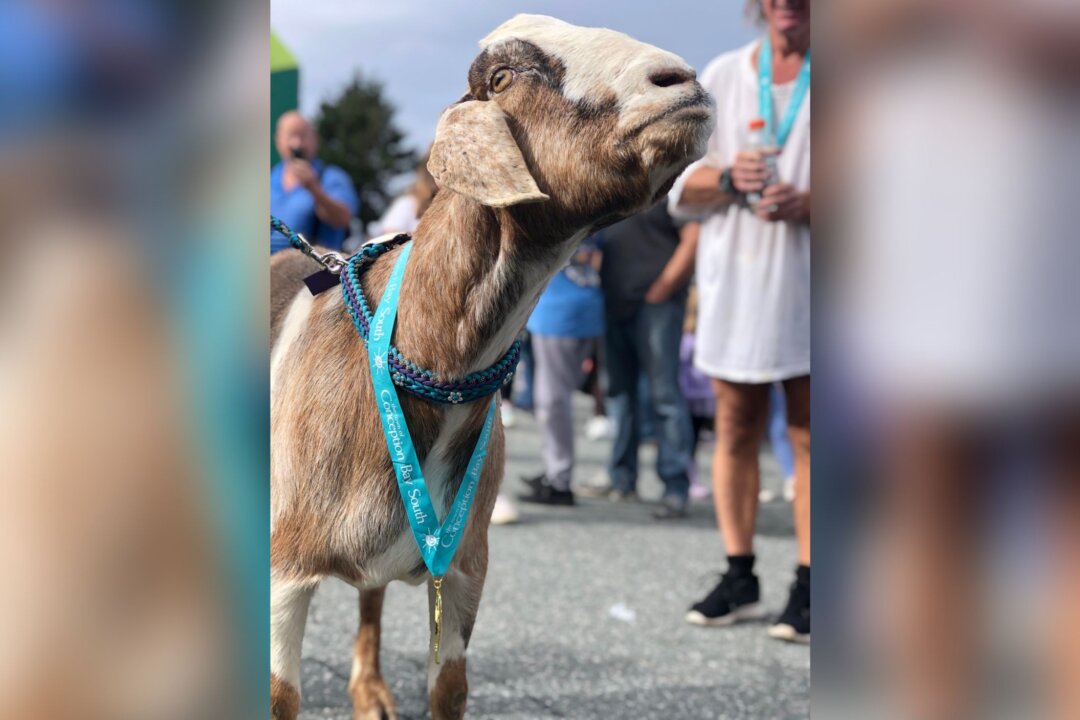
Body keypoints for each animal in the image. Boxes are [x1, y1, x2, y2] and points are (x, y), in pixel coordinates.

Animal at [270, 14, 714, 720]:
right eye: (502, 77)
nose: (681, 80)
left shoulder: (466, 568)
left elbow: (449, 689)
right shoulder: (286, 570)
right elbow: (282, 696)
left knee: (370, 598)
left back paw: (371, 691)